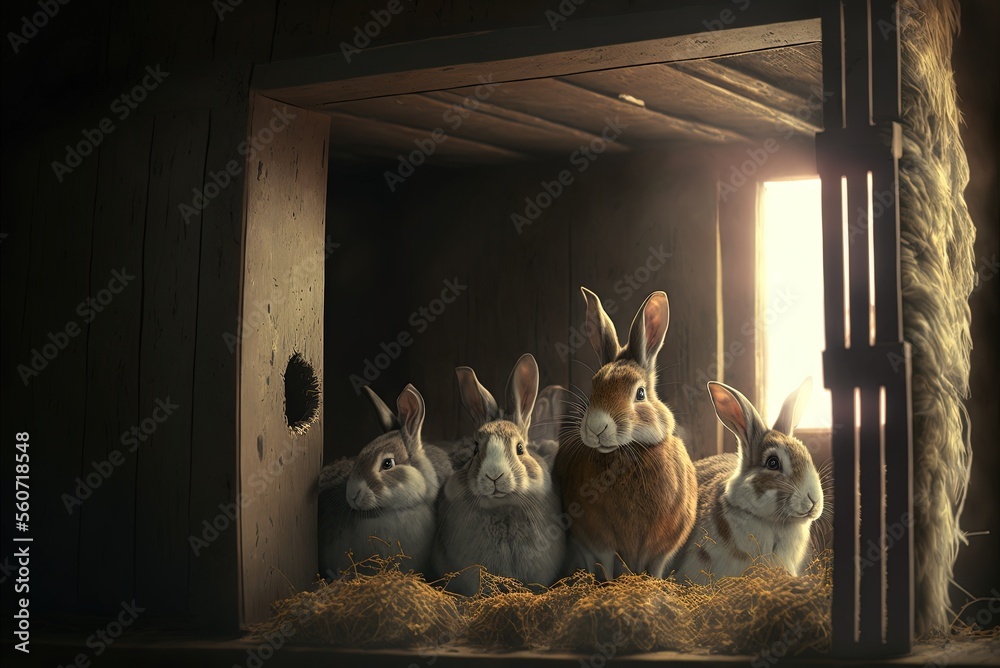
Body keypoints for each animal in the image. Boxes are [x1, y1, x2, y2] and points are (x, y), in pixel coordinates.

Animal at [553, 288, 697, 580]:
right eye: (594, 387)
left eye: (640, 394)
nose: (596, 427)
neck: (629, 452)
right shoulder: (596, 540)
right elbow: (604, 564)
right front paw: (607, 586)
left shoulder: (662, 547)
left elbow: (656, 566)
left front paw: (654, 584)